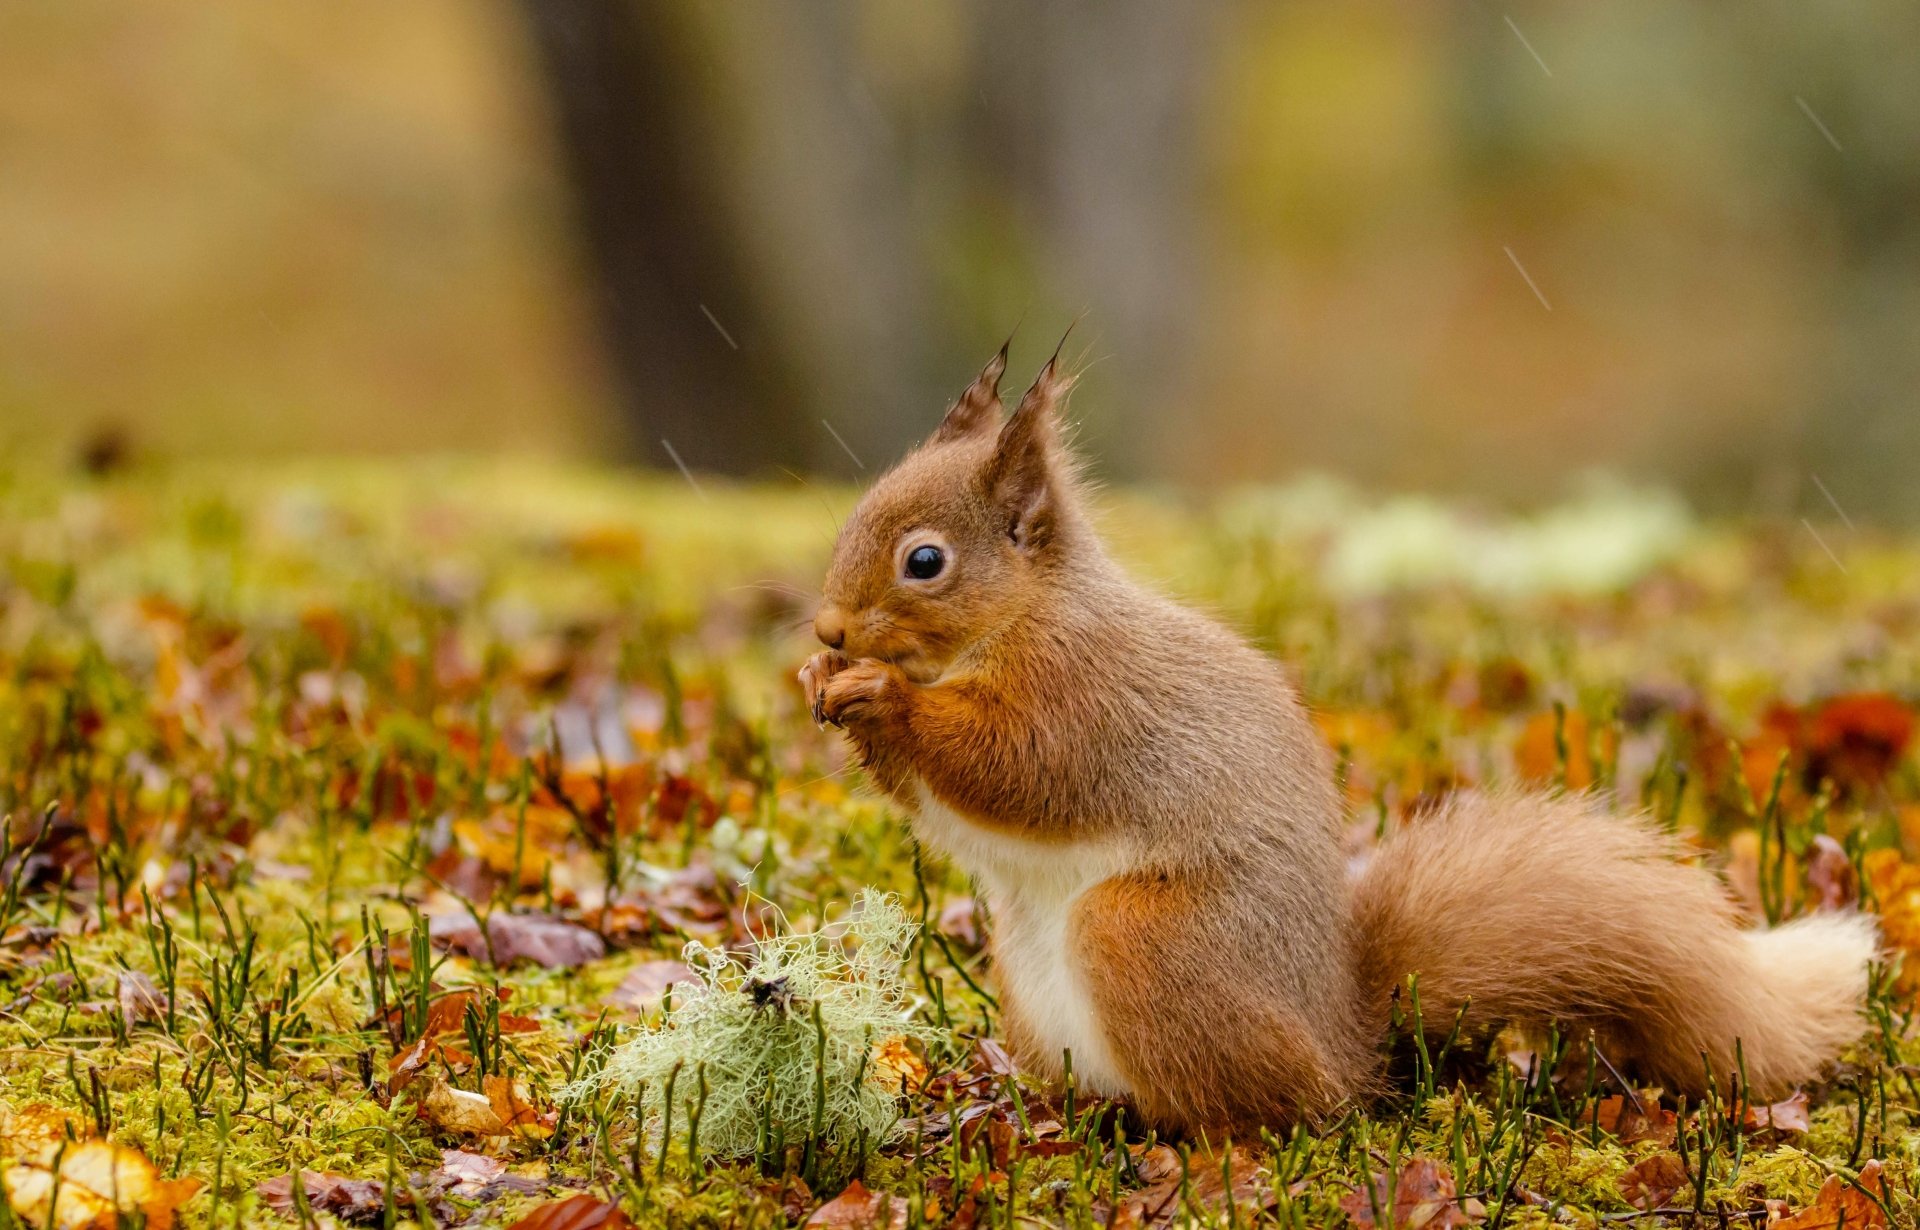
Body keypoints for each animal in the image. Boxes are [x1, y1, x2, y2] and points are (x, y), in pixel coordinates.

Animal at [798, 346, 1878, 1135]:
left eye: (925, 561)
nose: (828, 629)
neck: (1023, 617)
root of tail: (1345, 1042)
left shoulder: (1082, 700)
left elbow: (1014, 766)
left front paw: (883, 699)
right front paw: (823, 686)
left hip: (1148, 941)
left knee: (1272, 1111)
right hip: (1025, 969)